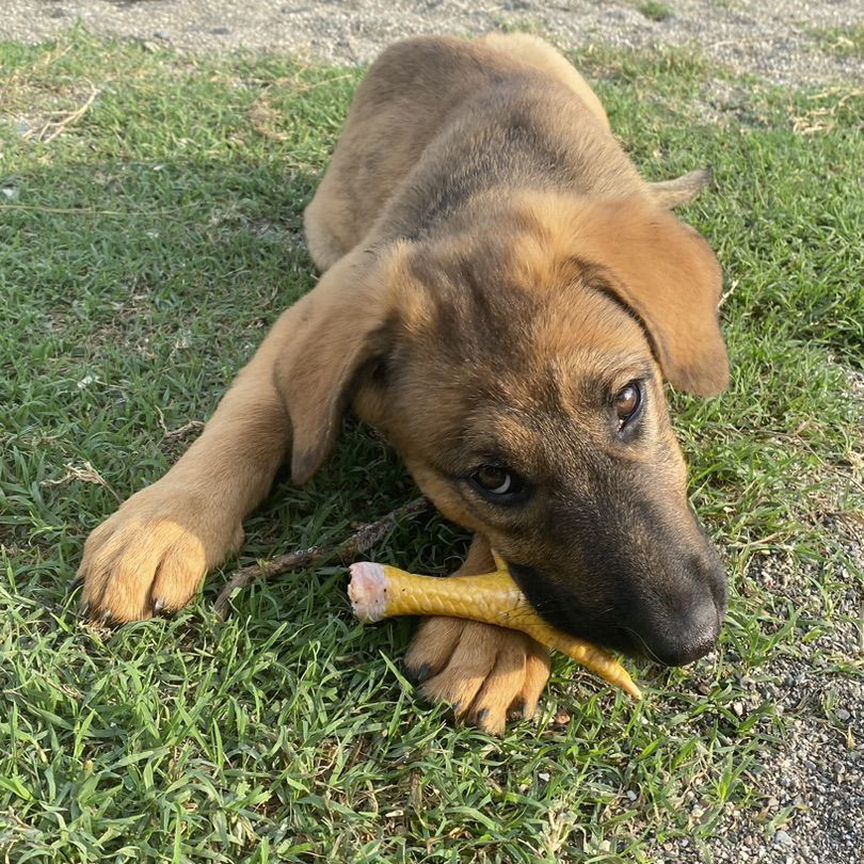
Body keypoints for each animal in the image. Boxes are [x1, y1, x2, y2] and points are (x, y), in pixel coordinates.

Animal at [79, 35, 728, 736]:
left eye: (629, 400)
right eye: (492, 478)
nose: (692, 640)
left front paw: (491, 641)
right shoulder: (318, 311)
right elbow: (253, 409)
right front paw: (165, 523)